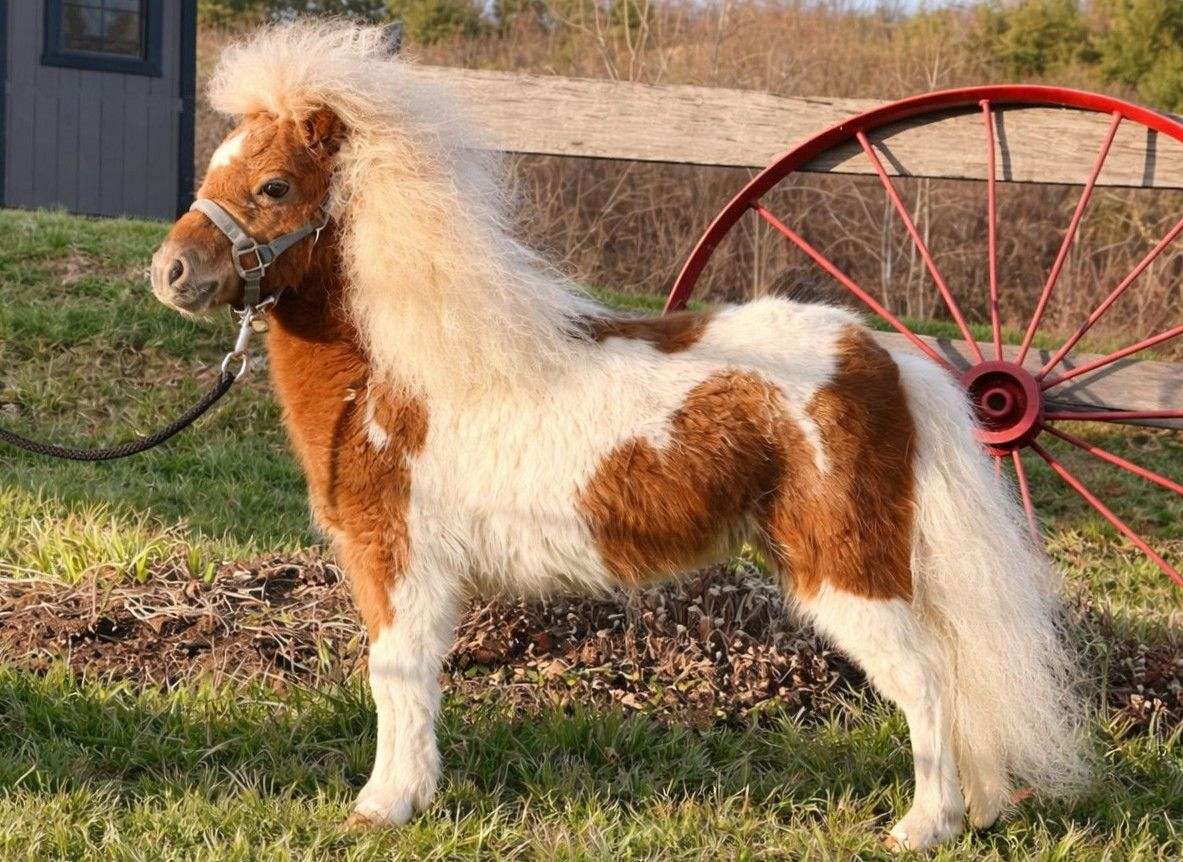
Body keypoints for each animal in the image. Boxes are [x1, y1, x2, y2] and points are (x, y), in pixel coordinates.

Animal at [149, 21, 1087, 851]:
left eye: (274, 186)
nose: (170, 273)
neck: (399, 373)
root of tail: (885, 355)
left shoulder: (401, 565)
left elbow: (399, 680)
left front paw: (385, 807)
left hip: (844, 567)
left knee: (928, 682)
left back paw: (923, 826)